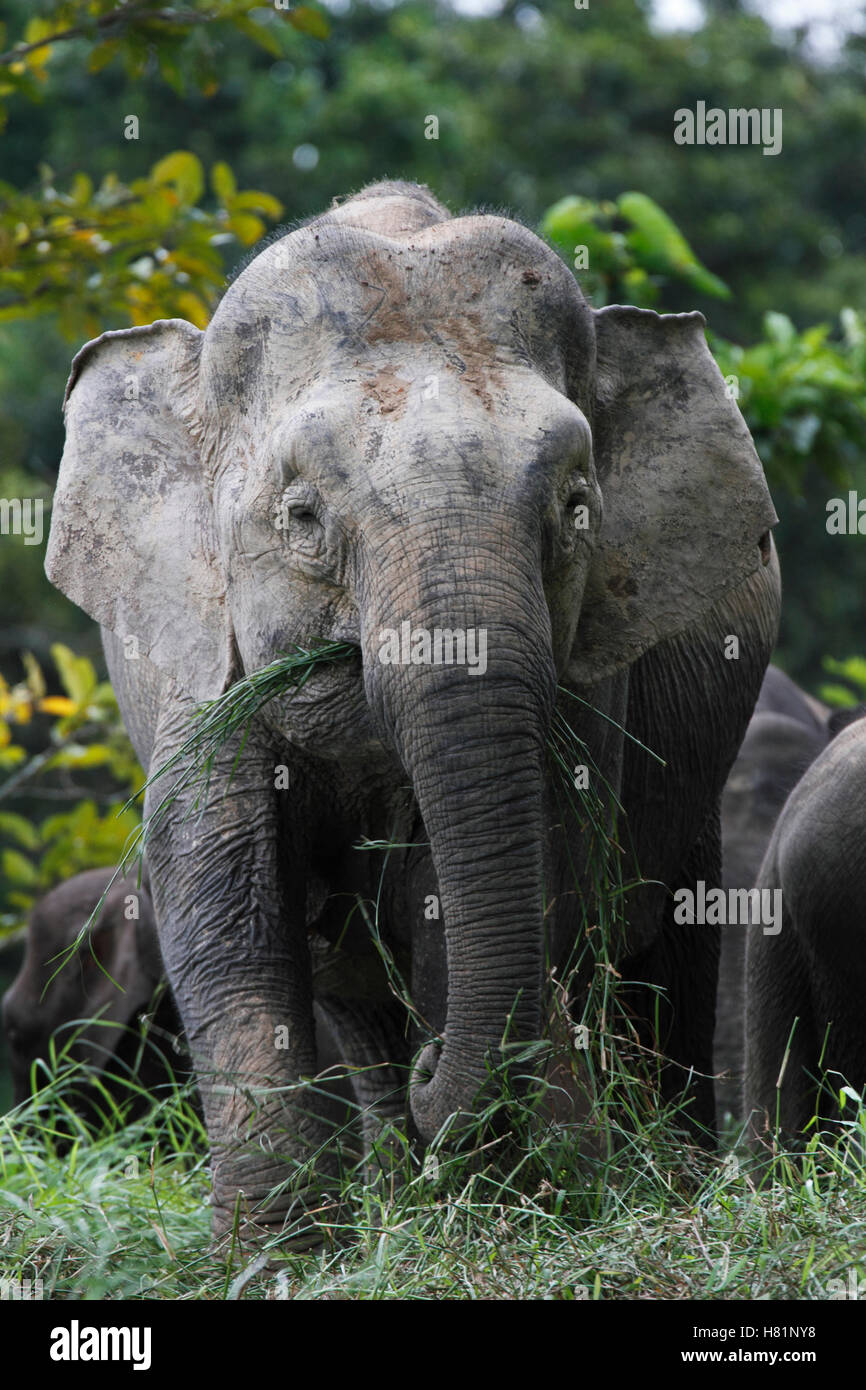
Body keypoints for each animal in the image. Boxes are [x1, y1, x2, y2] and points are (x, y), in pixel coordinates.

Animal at [44, 179, 780, 1245]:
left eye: (577, 508)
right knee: (356, 1002)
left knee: (667, 946)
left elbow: (515, 865)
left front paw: (486, 1202)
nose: (446, 1077)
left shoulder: (590, 669)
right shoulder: (185, 655)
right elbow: (217, 878)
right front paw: (274, 1250)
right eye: (302, 517)